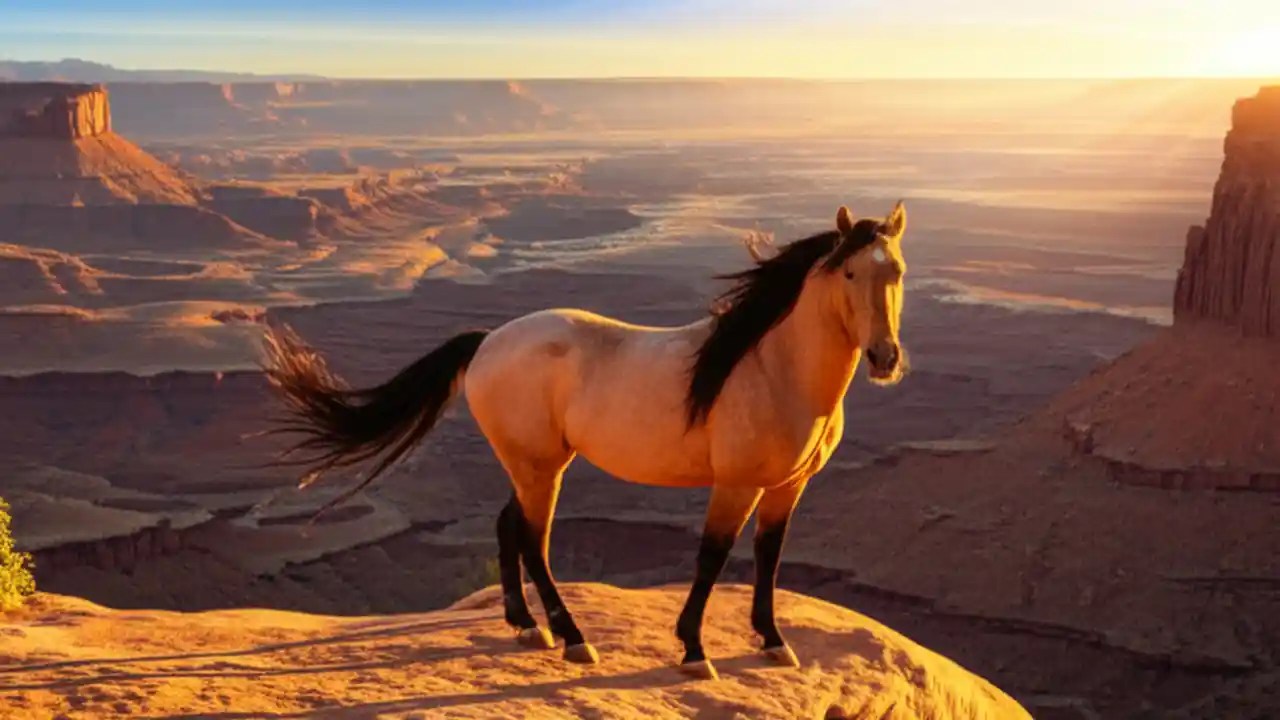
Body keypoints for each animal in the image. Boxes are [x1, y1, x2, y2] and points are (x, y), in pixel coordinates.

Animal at [262, 203, 910, 680]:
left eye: (897, 272)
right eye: (850, 272)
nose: (885, 358)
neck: (774, 369)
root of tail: (489, 340)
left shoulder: (787, 486)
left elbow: (769, 557)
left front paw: (773, 641)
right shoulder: (735, 483)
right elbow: (713, 556)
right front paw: (693, 651)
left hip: (533, 465)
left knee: (509, 525)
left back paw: (528, 627)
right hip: (540, 467)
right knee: (533, 538)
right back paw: (572, 638)